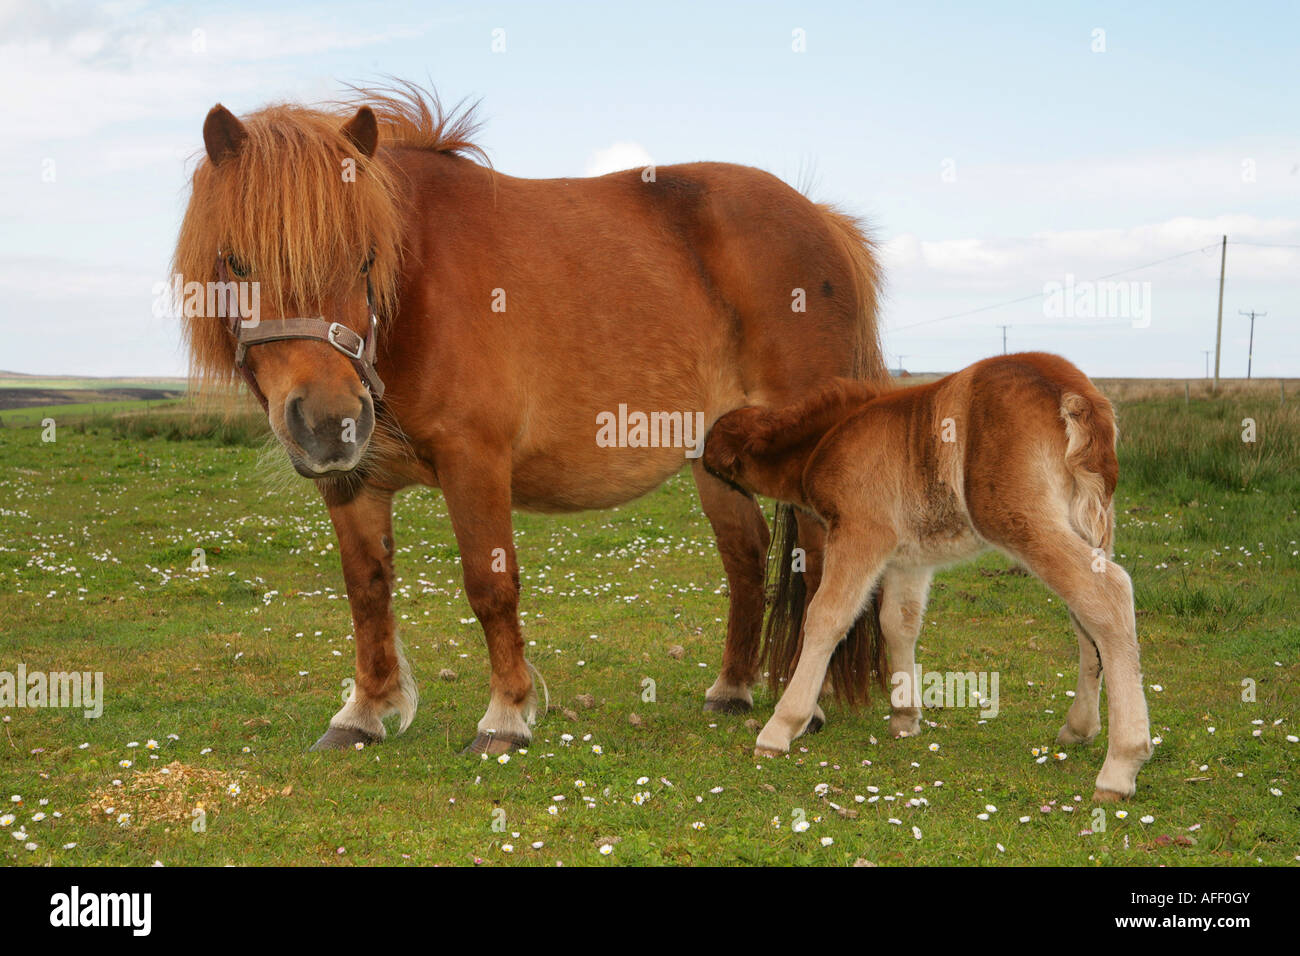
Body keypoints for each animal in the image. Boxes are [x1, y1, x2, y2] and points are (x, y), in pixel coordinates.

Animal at [173, 81, 888, 754]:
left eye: (366, 257)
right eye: (236, 261)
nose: (330, 425)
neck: (417, 289)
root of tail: (824, 222)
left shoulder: (475, 462)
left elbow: (490, 587)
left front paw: (506, 719)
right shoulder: (352, 483)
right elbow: (367, 588)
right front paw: (364, 713)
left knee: (819, 572)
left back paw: (805, 708)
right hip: (714, 454)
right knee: (745, 557)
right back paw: (731, 690)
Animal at [701, 352, 1154, 800]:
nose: (700, 458)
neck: (830, 437)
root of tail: (1073, 391)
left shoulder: (861, 532)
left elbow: (827, 617)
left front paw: (781, 727)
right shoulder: (909, 558)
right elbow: (898, 623)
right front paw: (905, 716)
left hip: (1020, 520)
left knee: (1108, 595)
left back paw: (1120, 766)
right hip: (1091, 527)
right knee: (1086, 618)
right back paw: (1080, 728)